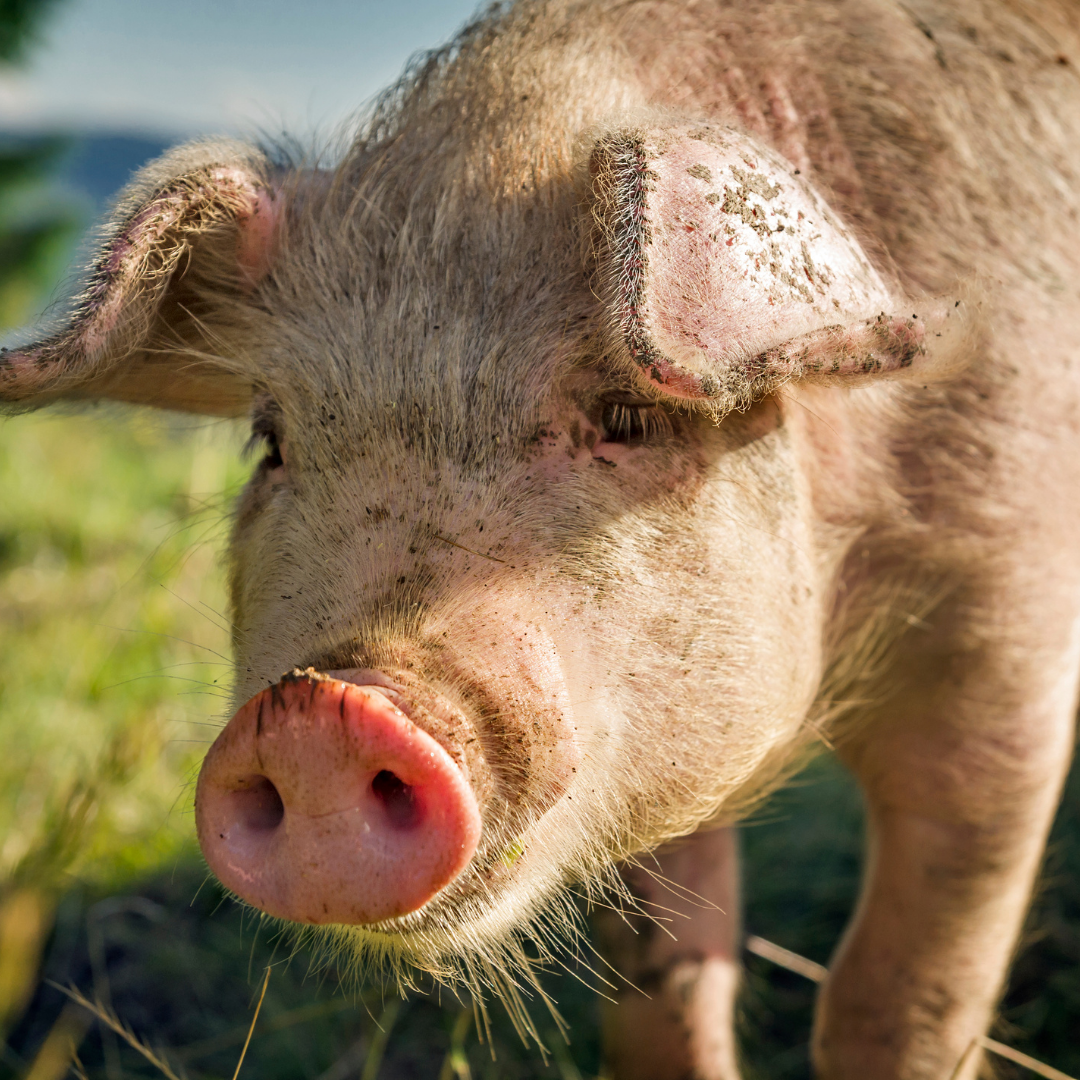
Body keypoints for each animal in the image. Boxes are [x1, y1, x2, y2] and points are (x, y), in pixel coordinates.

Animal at [4, 1, 1080, 1076]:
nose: (322, 710)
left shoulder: (1010, 640)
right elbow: (661, 976)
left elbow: (902, 990)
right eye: (273, 442)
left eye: (628, 419)